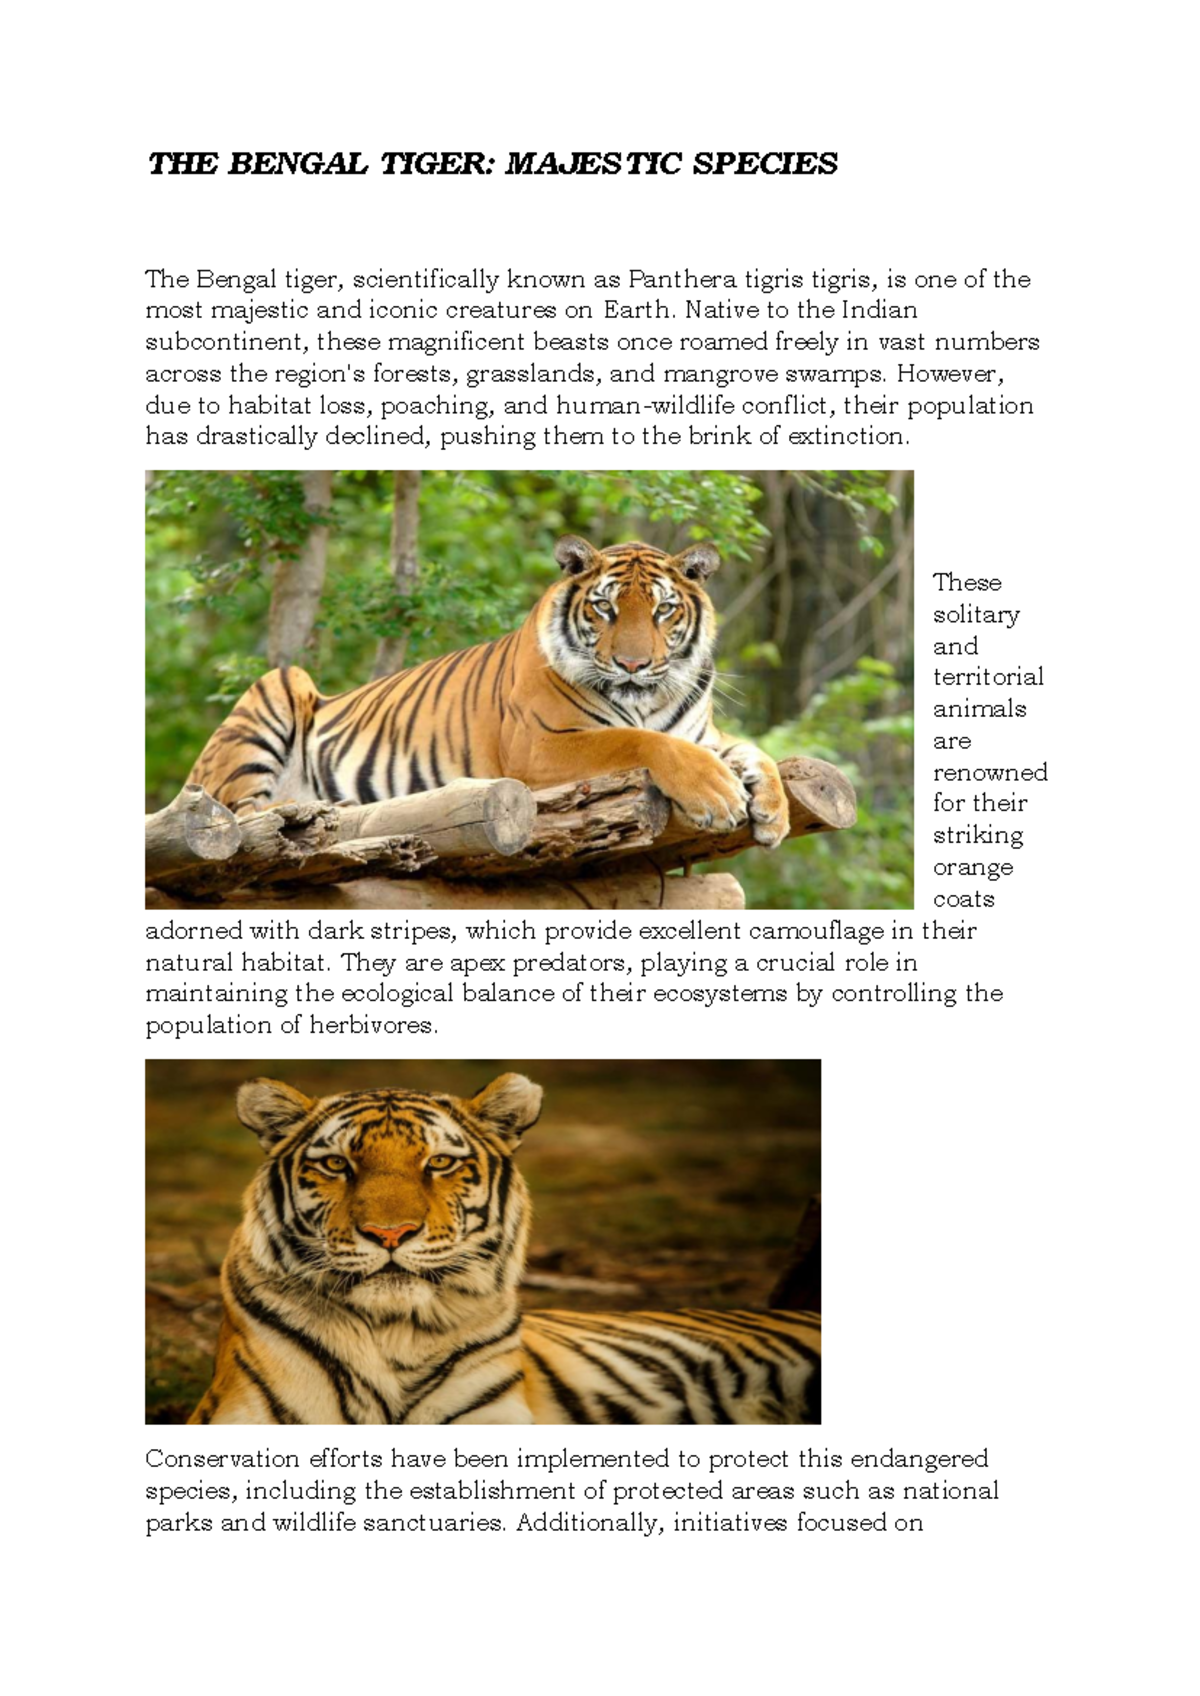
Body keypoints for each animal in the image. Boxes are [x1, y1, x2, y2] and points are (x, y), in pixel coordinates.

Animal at [187, 535, 790, 848]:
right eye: (605, 608)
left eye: (664, 610)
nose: (633, 664)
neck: (648, 699)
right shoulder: (541, 746)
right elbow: (639, 741)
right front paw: (717, 797)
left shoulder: (704, 734)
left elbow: (757, 752)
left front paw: (775, 811)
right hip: (278, 689)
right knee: (241, 809)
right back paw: (307, 805)